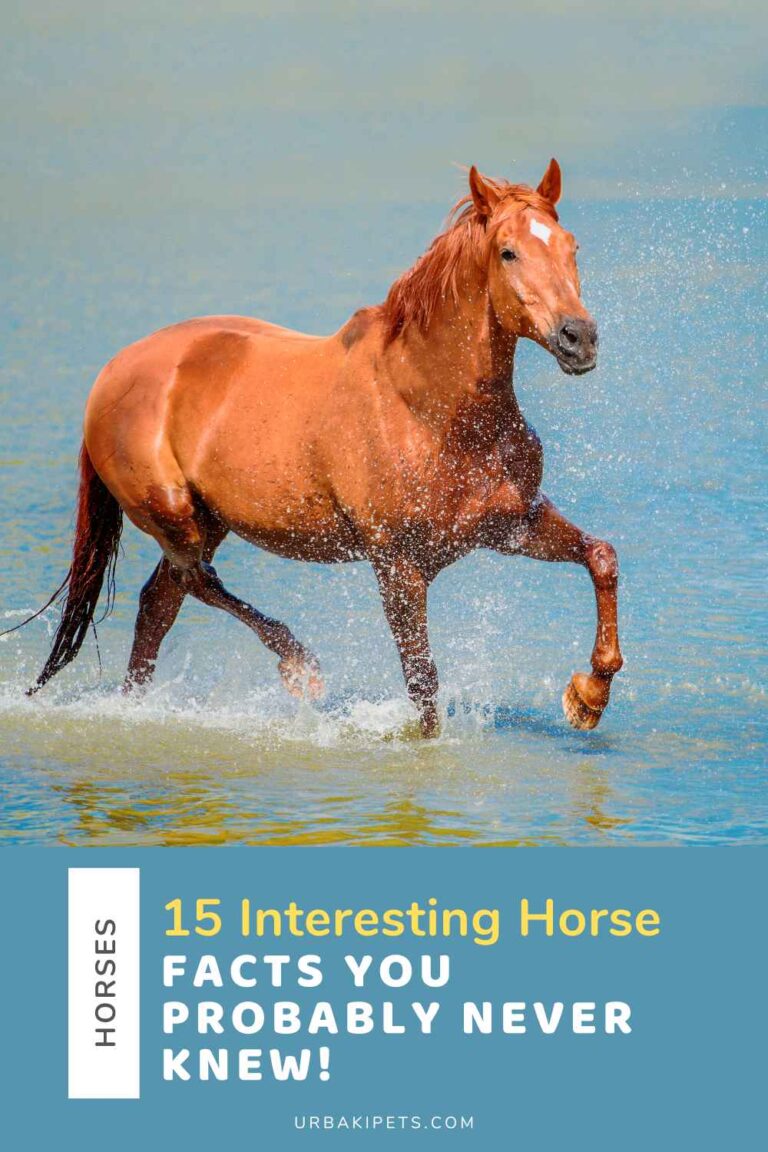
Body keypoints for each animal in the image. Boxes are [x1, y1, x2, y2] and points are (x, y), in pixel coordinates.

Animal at [18, 158, 623, 737]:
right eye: (508, 252)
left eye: (571, 247)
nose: (579, 338)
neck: (429, 410)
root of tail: (113, 371)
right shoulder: (397, 563)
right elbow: (423, 686)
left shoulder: (513, 525)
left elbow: (601, 556)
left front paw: (587, 697)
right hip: (171, 514)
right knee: (196, 582)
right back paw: (298, 666)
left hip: (209, 520)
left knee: (158, 603)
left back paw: (137, 705)